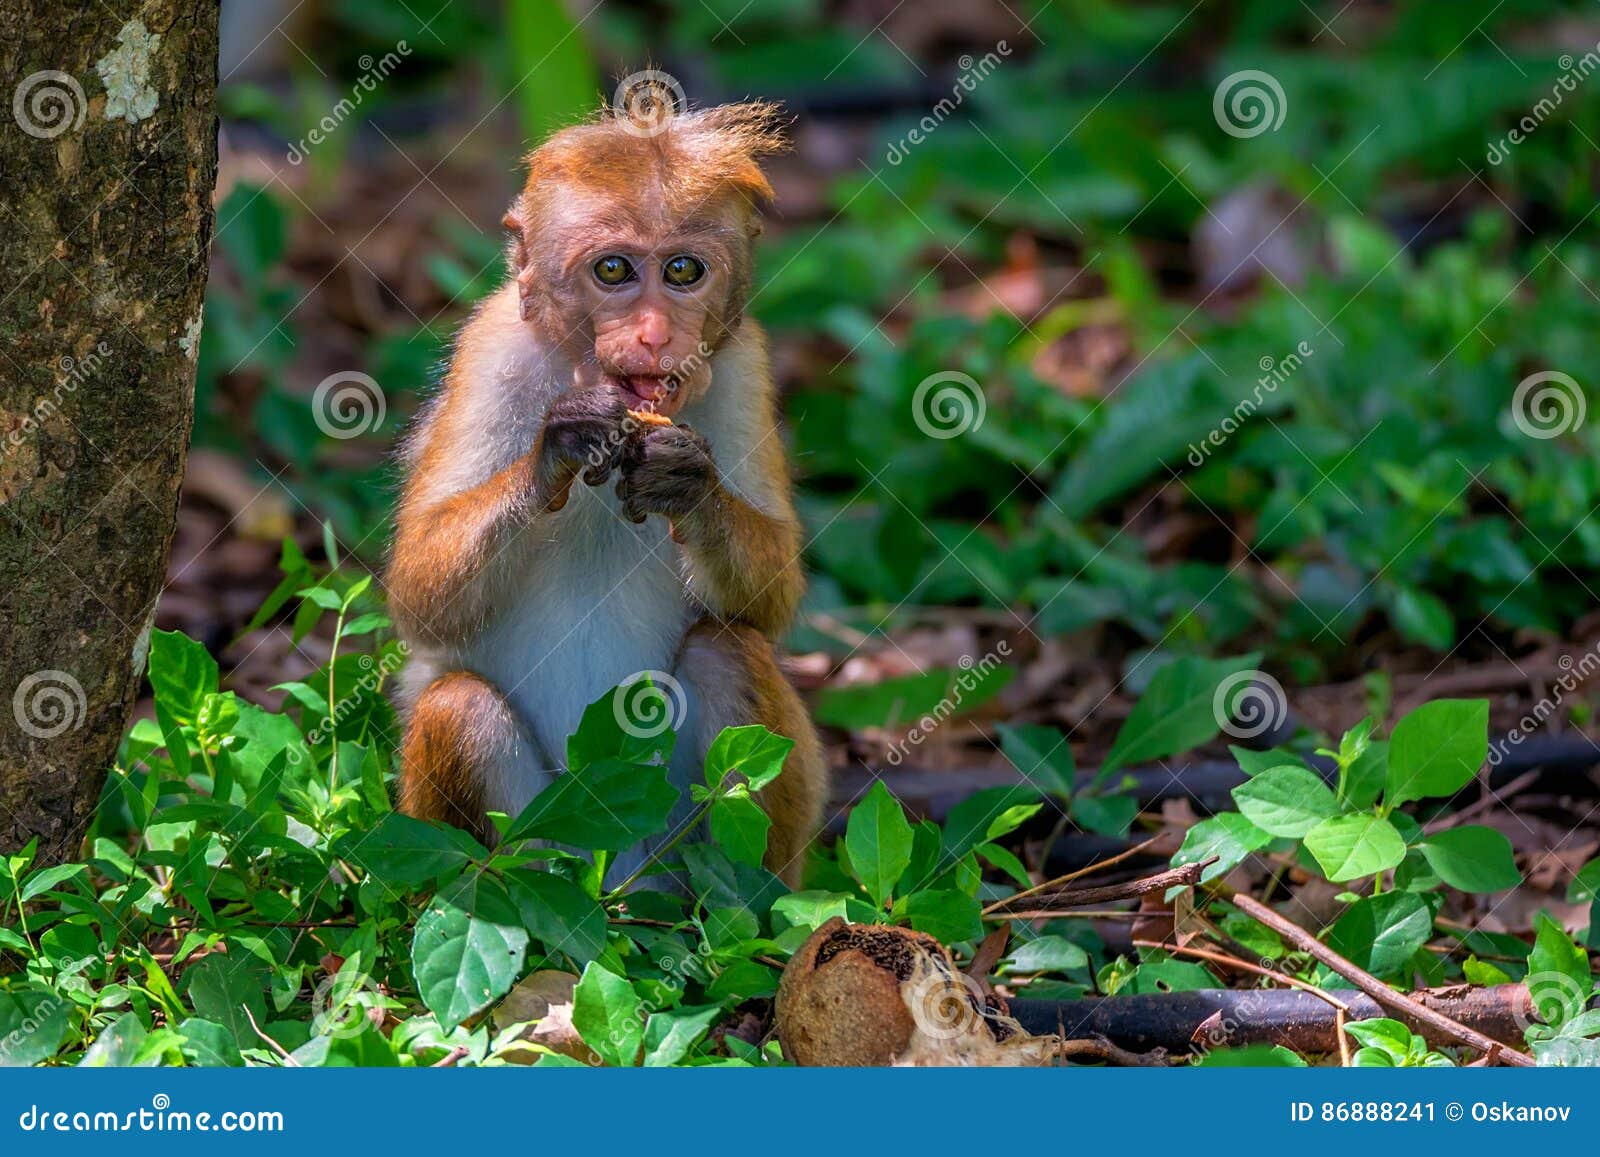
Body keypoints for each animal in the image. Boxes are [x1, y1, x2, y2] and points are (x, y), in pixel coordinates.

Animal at [384, 101, 826, 889]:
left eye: (683, 270)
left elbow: (769, 604)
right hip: (550, 838)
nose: (653, 335)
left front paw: (691, 486)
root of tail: (617, 880)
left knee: (728, 650)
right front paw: (558, 449)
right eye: (613, 270)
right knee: (459, 707)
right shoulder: (490, 348)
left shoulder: (743, 361)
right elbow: (418, 598)